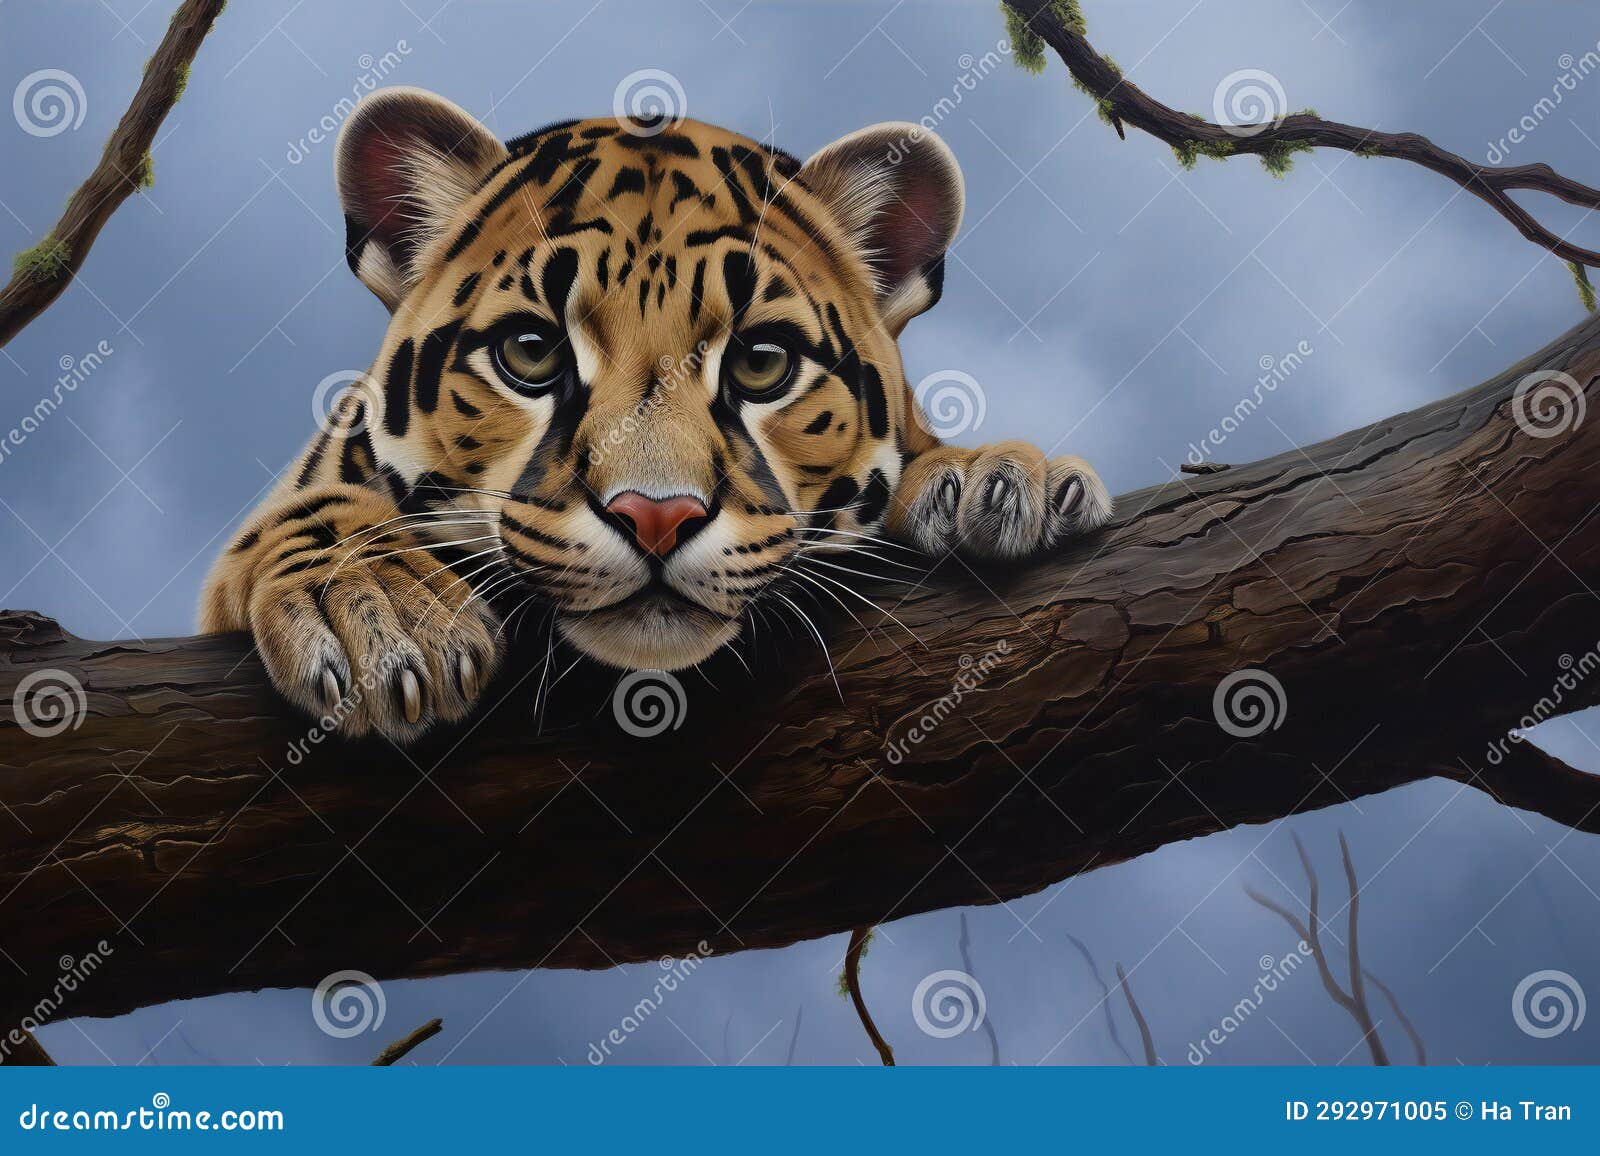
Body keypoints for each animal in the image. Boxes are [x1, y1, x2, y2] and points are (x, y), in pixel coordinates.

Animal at [200, 87, 1113, 741]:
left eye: (762, 363)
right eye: (530, 352)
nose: (656, 518)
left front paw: (1000, 483)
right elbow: (309, 513)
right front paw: (383, 609)